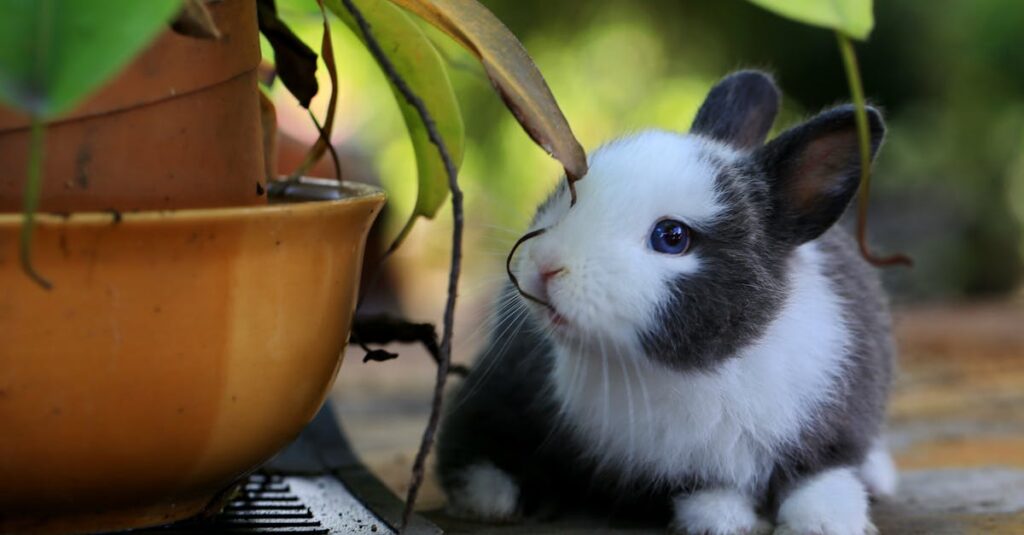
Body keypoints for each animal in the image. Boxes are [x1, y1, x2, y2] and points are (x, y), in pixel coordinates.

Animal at [437, 70, 897, 535]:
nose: (545, 266)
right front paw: (722, 521)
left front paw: (825, 522)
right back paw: (492, 498)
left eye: (672, 237)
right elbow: (704, 491)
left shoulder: (835, 425)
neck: (704, 370)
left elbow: (821, 477)